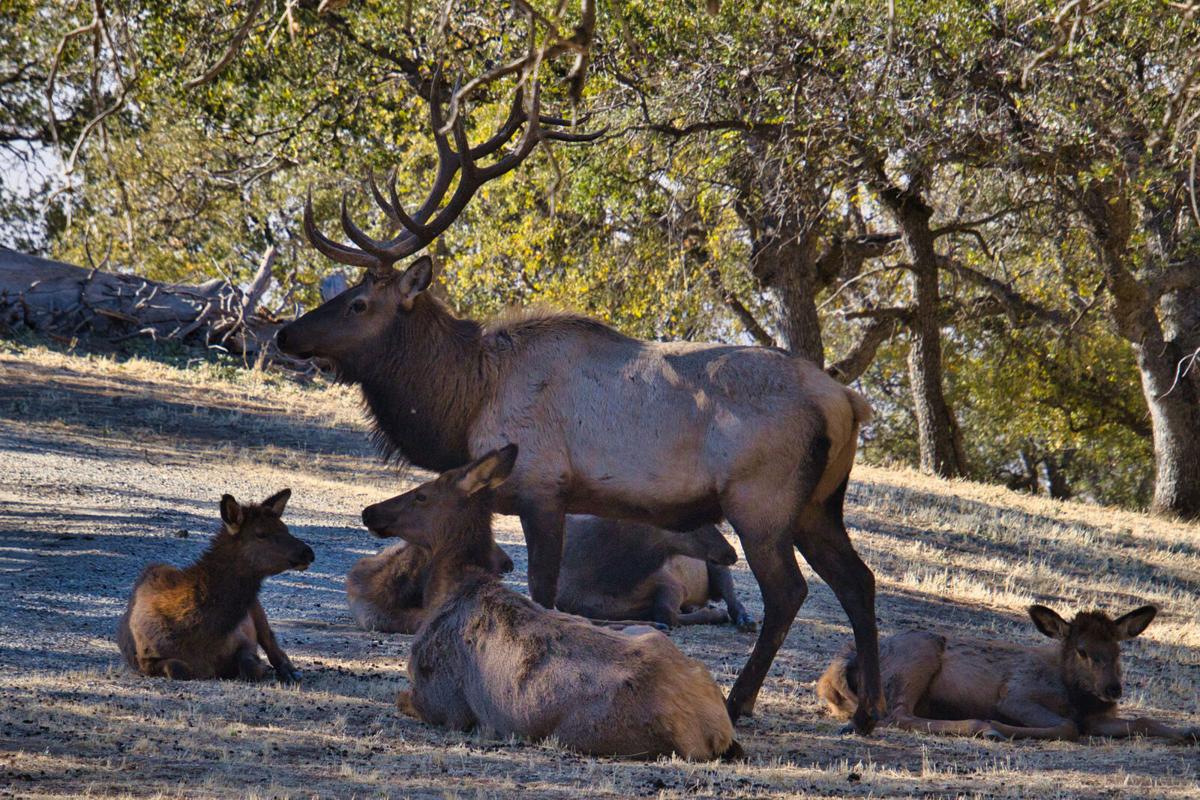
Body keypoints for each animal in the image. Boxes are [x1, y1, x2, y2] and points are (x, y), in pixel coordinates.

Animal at [116, 490, 314, 682]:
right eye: (261, 533)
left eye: (285, 528)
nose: (308, 552)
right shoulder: (144, 658)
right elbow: (177, 668)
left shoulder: (245, 641)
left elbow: (252, 668)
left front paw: (261, 667)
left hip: (257, 609)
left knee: (271, 640)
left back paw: (291, 672)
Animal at [556, 516, 754, 630]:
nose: (732, 553)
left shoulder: (672, 582)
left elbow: (665, 613)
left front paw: (716, 614)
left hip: (716, 566)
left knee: (732, 599)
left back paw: (746, 620)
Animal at [817, 604, 1200, 743]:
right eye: (1082, 650)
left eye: (1118, 650)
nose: (1113, 689)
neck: (1075, 694)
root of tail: (837, 669)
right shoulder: (1014, 695)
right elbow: (1067, 727)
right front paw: (1000, 728)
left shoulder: (1098, 717)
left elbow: (1141, 721)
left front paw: (1188, 732)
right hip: (919, 655)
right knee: (895, 714)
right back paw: (981, 727)